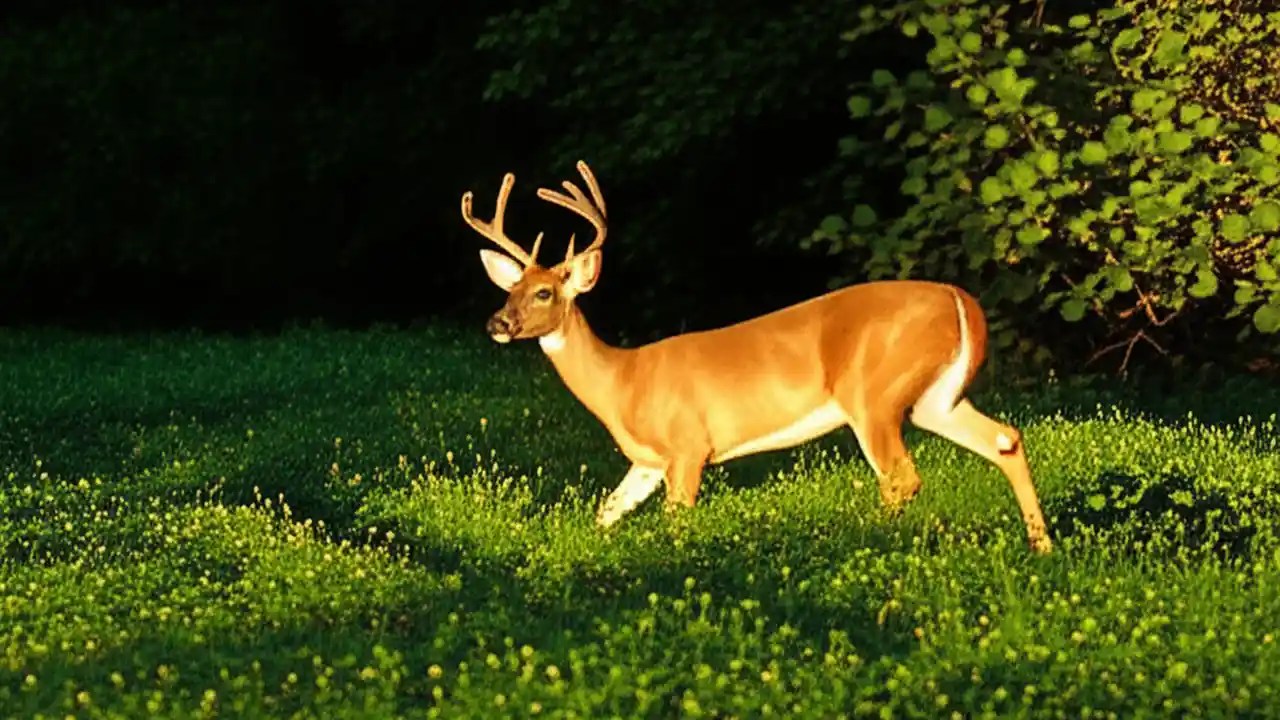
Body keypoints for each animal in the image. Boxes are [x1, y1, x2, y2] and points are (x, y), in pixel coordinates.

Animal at [461, 161, 1053, 554]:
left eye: (544, 293)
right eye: (510, 289)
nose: (497, 324)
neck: (622, 380)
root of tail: (961, 299)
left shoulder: (688, 447)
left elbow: (677, 521)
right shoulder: (647, 461)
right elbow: (605, 513)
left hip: (874, 395)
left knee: (902, 478)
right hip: (934, 398)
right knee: (1005, 439)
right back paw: (1041, 546)